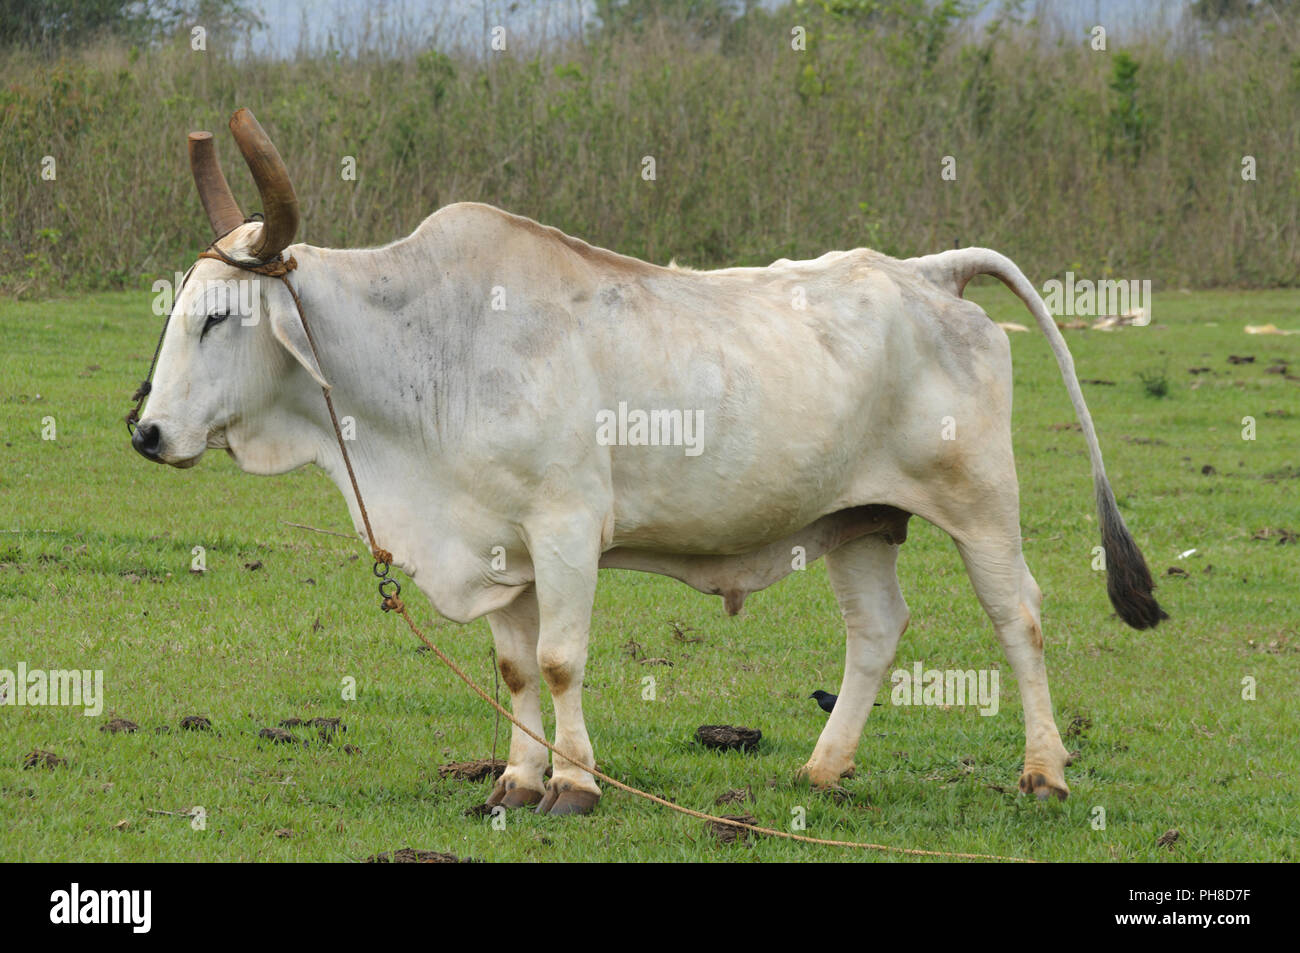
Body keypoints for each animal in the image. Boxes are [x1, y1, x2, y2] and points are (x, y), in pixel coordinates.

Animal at [131, 110, 1166, 816]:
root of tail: (927, 273)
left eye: (218, 316)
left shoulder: (564, 528)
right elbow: (514, 669)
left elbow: (559, 661)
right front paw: (516, 780)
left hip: (982, 505)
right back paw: (823, 767)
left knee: (1018, 618)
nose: (147, 434)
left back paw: (1044, 771)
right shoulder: (498, 547)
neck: (438, 351)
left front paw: (576, 786)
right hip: (858, 521)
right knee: (876, 631)